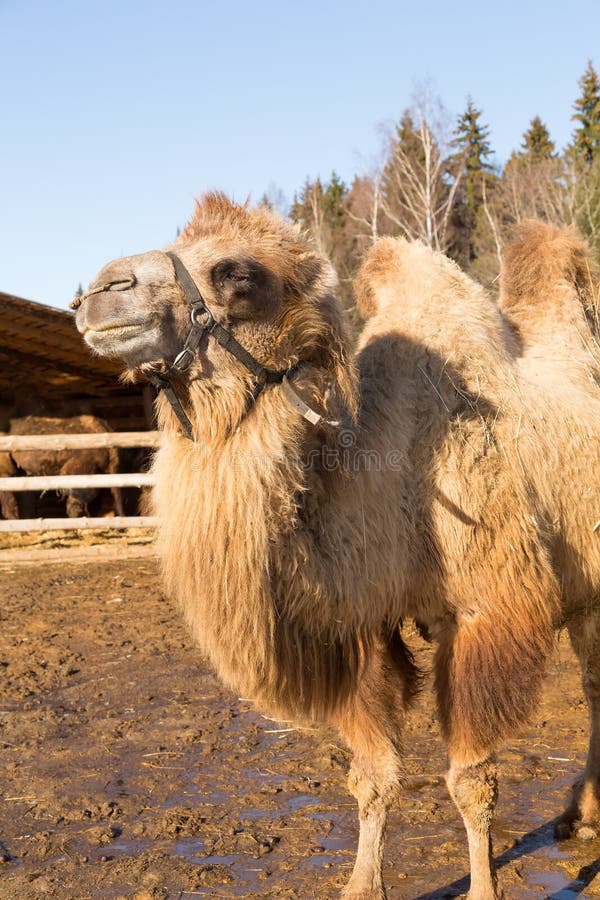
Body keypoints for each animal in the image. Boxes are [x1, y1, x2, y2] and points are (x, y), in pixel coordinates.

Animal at [73, 194, 595, 899]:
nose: (101, 292)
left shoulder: (487, 612)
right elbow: (372, 778)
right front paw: (361, 885)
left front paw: (485, 889)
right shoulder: (361, 627)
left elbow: (470, 781)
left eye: (240, 275)